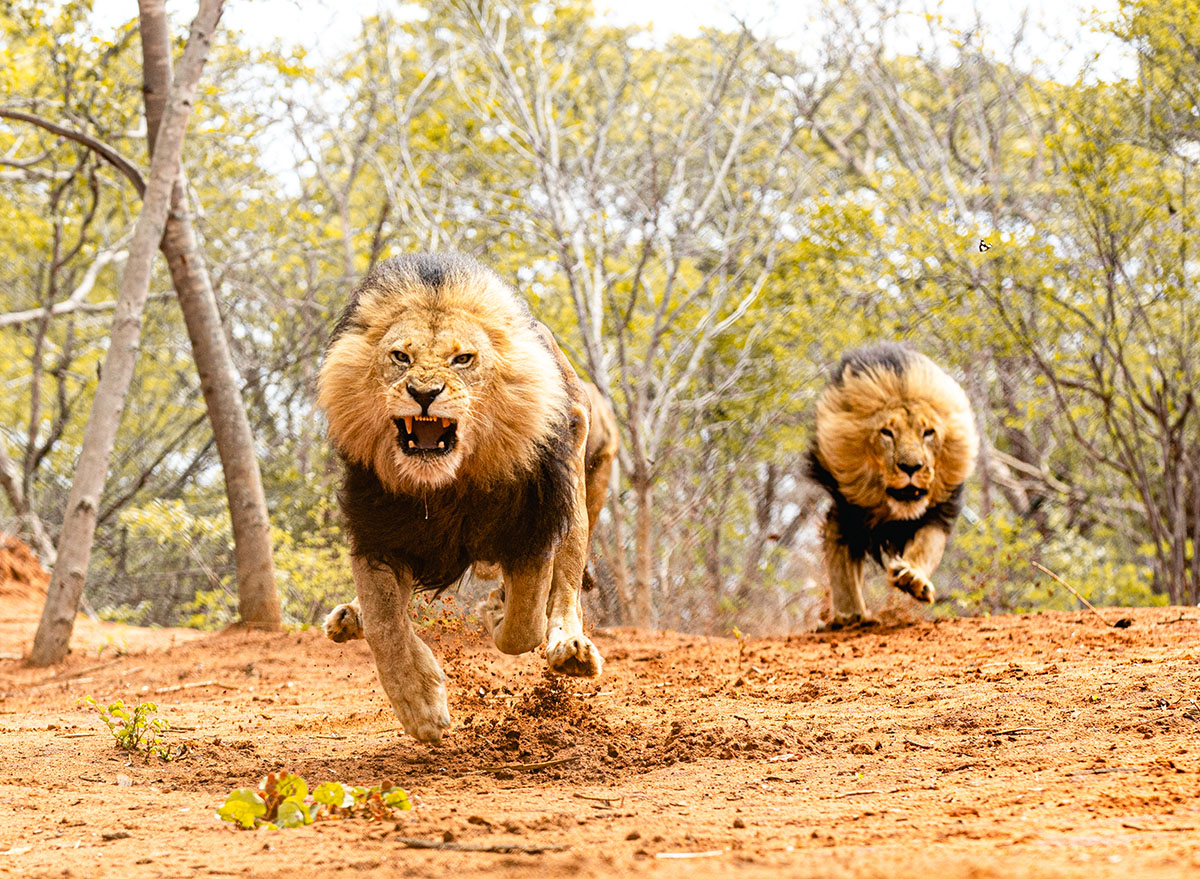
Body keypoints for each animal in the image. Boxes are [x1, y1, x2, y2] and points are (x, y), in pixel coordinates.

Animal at [317, 253, 604, 744]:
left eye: (463, 359)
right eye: (400, 356)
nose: (424, 394)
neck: (447, 484)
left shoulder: (532, 525)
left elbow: (524, 625)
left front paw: (498, 611)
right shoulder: (378, 526)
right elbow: (385, 622)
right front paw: (420, 705)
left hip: (575, 494)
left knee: (566, 590)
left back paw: (569, 649)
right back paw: (351, 617)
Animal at [807, 343, 978, 629]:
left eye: (928, 433)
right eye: (887, 433)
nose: (911, 467)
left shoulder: (938, 512)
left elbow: (925, 547)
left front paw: (912, 579)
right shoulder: (846, 513)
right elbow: (842, 570)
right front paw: (850, 616)